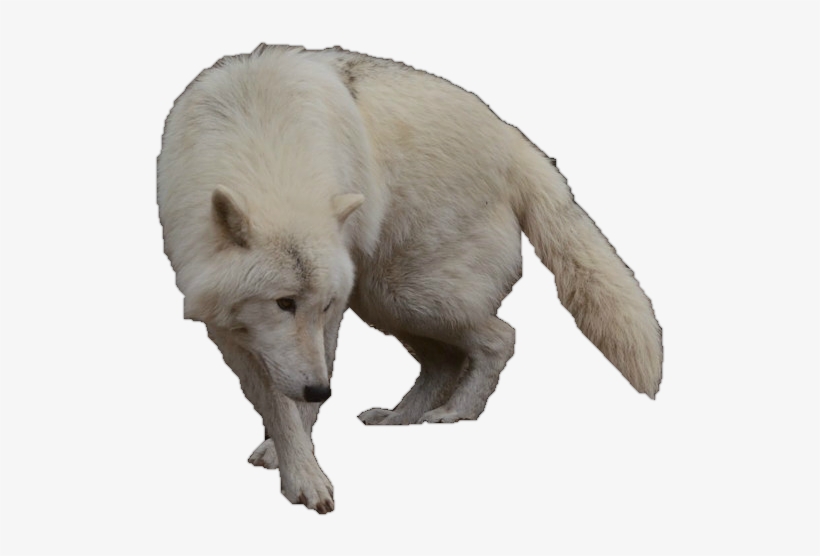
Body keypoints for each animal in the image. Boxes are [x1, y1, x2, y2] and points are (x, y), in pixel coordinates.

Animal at [157, 45, 663, 514]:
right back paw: (399, 418)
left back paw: (456, 412)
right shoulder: (228, 326)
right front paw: (292, 462)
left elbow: (297, 404)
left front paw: (300, 471)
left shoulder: (332, 318)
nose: (321, 389)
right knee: (442, 362)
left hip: (409, 296)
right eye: (284, 302)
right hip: (387, 303)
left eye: (321, 304)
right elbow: (274, 401)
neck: (265, 143)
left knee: (501, 337)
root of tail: (516, 141)